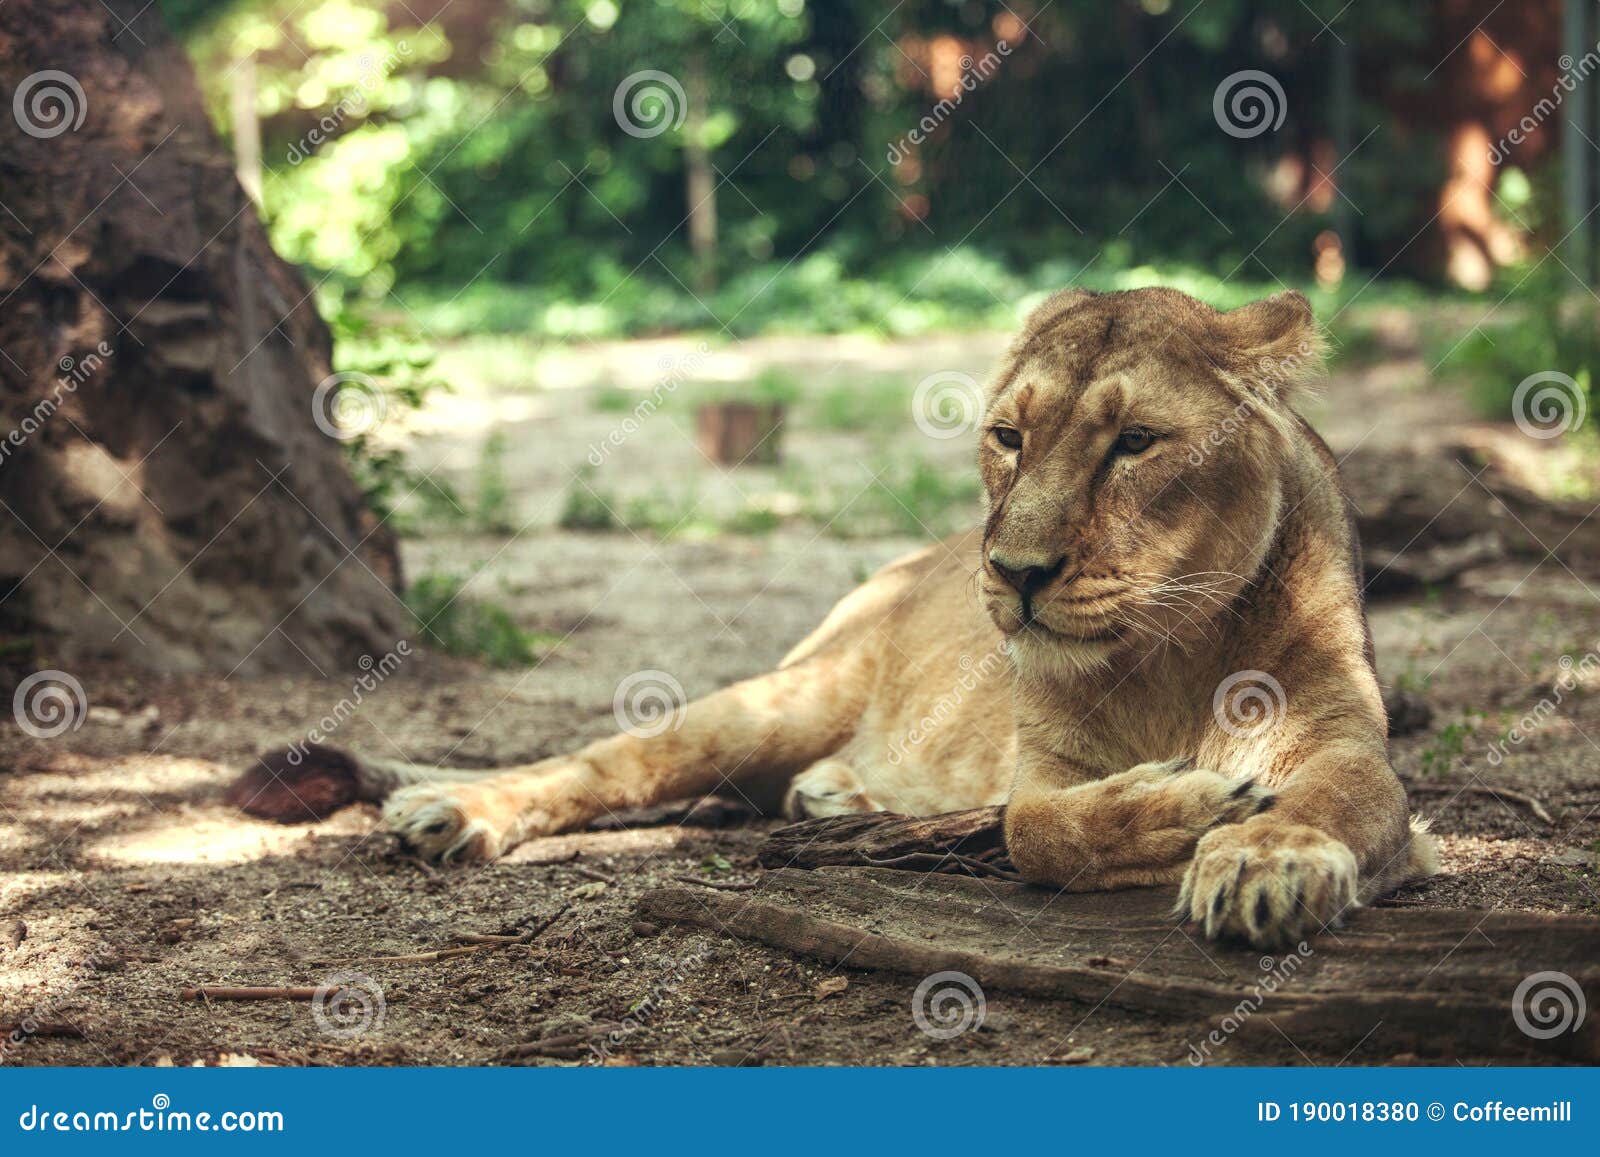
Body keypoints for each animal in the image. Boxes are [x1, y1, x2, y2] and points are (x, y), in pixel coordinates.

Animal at [238, 286, 1436, 948]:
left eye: (1135, 442)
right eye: (1008, 436)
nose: (1016, 571)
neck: (1167, 652)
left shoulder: (1346, 741)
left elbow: (1326, 795)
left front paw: (1266, 860)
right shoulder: (1043, 766)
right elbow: (1035, 827)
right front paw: (1194, 808)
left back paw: (838, 793)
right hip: (771, 698)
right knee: (604, 763)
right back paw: (453, 808)